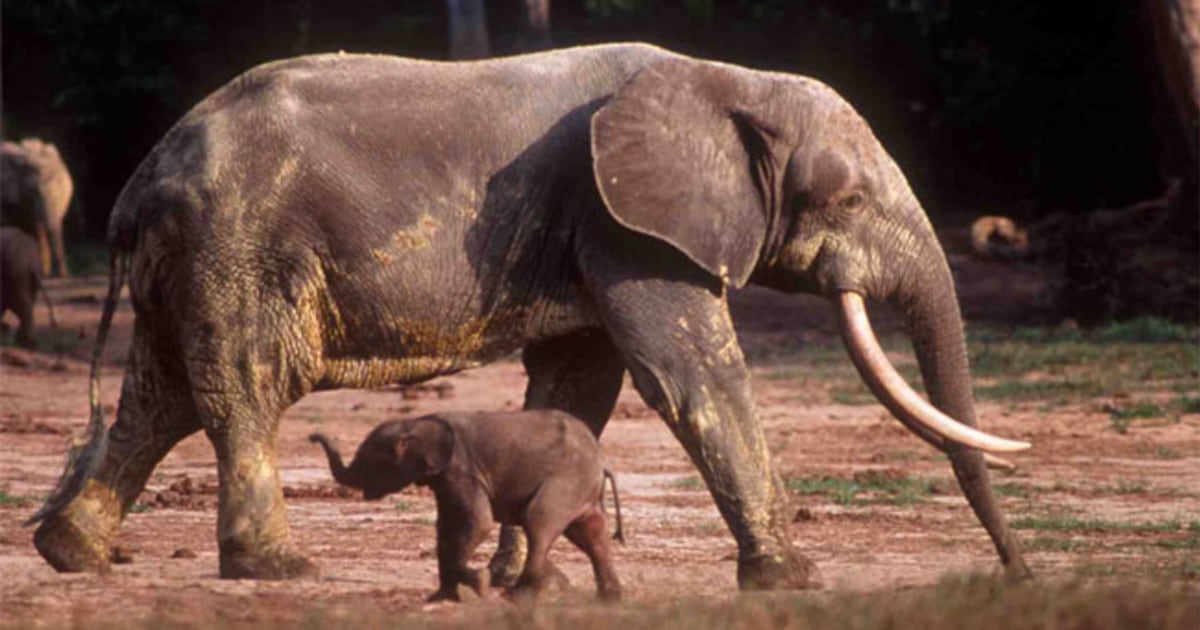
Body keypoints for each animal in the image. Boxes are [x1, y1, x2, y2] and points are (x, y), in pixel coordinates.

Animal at [310, 410, 624, 602]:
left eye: (370, 461)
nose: (312, 436)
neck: (417, 422)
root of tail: (602, 460)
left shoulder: (462, 470)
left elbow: (477, 523)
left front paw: (480, 583)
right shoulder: (445, 478)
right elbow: (446, 527)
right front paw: (441, 599)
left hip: (566, 481)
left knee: (539, 522)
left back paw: (514, 597)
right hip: (581, 489)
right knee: (592, 533)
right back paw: (608, 600)